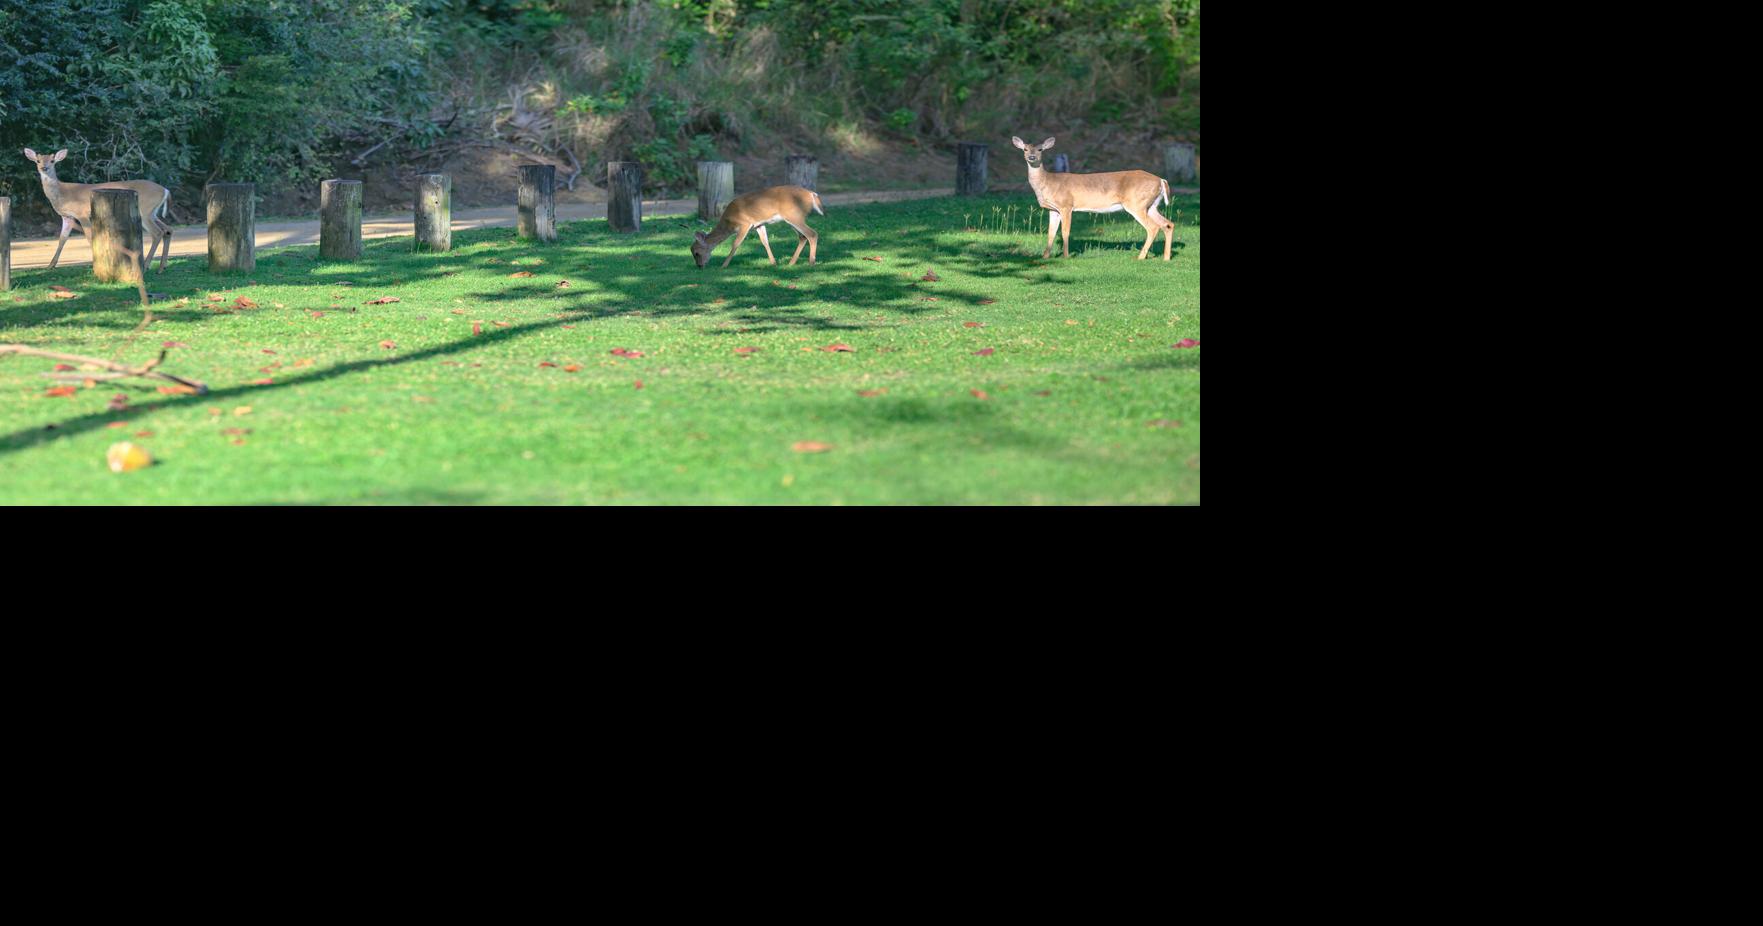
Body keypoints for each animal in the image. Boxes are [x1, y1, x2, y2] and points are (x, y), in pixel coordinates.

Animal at [22, 148, 173, 272]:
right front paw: (50, 265)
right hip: (152, 212)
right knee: (168, 229)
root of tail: (165, 190)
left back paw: (147, 265)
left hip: (145, 210)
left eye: (52, 160)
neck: (62, 193)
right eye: (38, 160)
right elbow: (62, 240)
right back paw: (162, 267)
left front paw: (95, 263)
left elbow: (89, 237)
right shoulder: (67, 217)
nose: (44, 168)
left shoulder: (82, 214)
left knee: (157, 232)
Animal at [691, 185, 822, 269]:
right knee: (803, 237)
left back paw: (811, 262)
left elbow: (736, 244)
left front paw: (724, 265)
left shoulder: (745, 223)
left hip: (794, 216)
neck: (729, 223)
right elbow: (765, 242)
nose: (699, 266)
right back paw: (791, 263)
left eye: (696, 253)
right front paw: (773, 263)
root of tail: (812, 194)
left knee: (812, 234)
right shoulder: (758, 225)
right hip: (792, 218)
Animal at [1012, 136, 1174, 261]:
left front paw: (1066, 256)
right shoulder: (1053, 209)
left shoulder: (1066, 205)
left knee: (1153, 227)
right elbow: (1051, 233)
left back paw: (1140, 257)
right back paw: (1166, 258)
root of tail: (1161, 180)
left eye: (1040, 149)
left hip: (1136, 203)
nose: (1032, 157)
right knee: (1167, 224)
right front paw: (1045, 257)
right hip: (1150, 205)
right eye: (1025, 149)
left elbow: (1065, 231)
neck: (1048, 183)